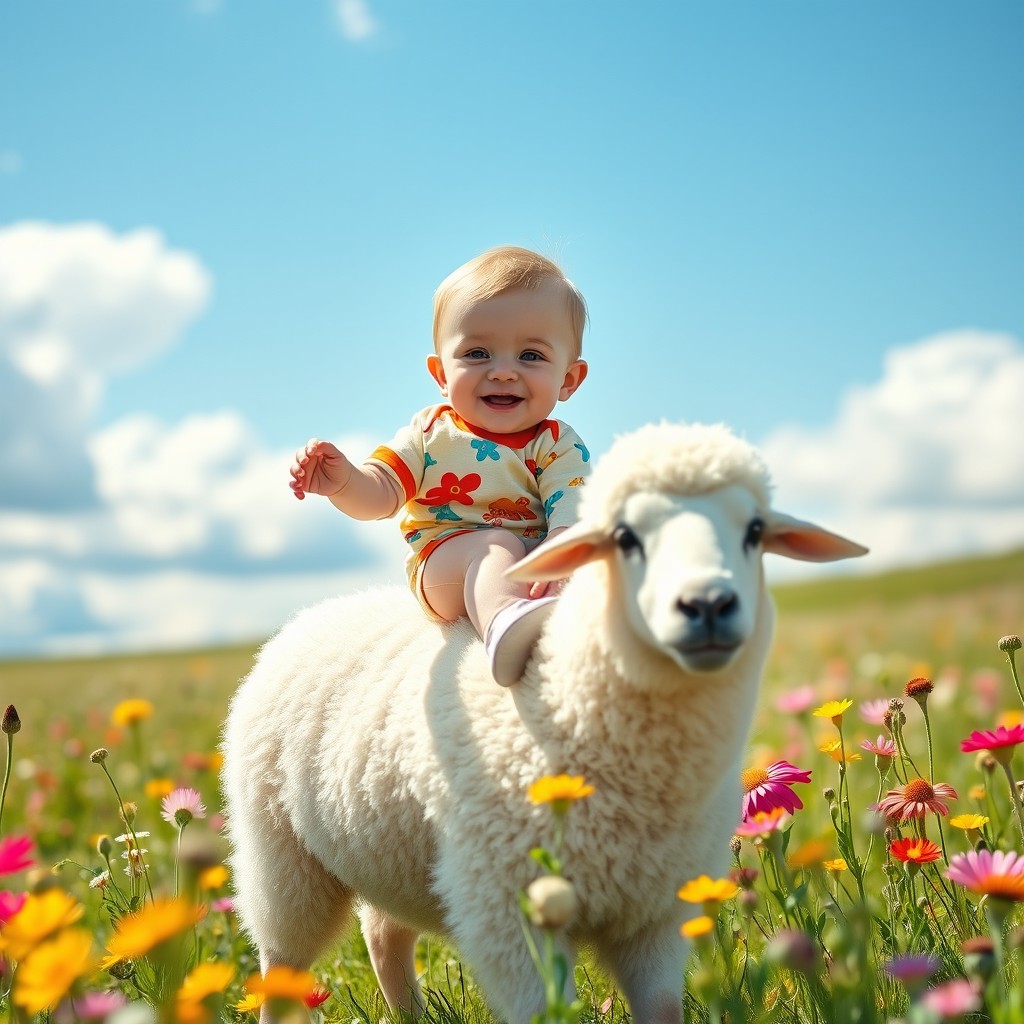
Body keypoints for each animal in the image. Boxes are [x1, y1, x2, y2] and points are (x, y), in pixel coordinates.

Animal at [221, 421, 867, 1024]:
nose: (707, 604)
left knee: (383, 934)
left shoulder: (658, 914)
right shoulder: (507, 909)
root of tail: (310, 614)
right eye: (624, 537)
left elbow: (661, 1008)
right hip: (280, 856)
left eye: (754, 532)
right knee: (281, 962)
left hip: (389, 853)